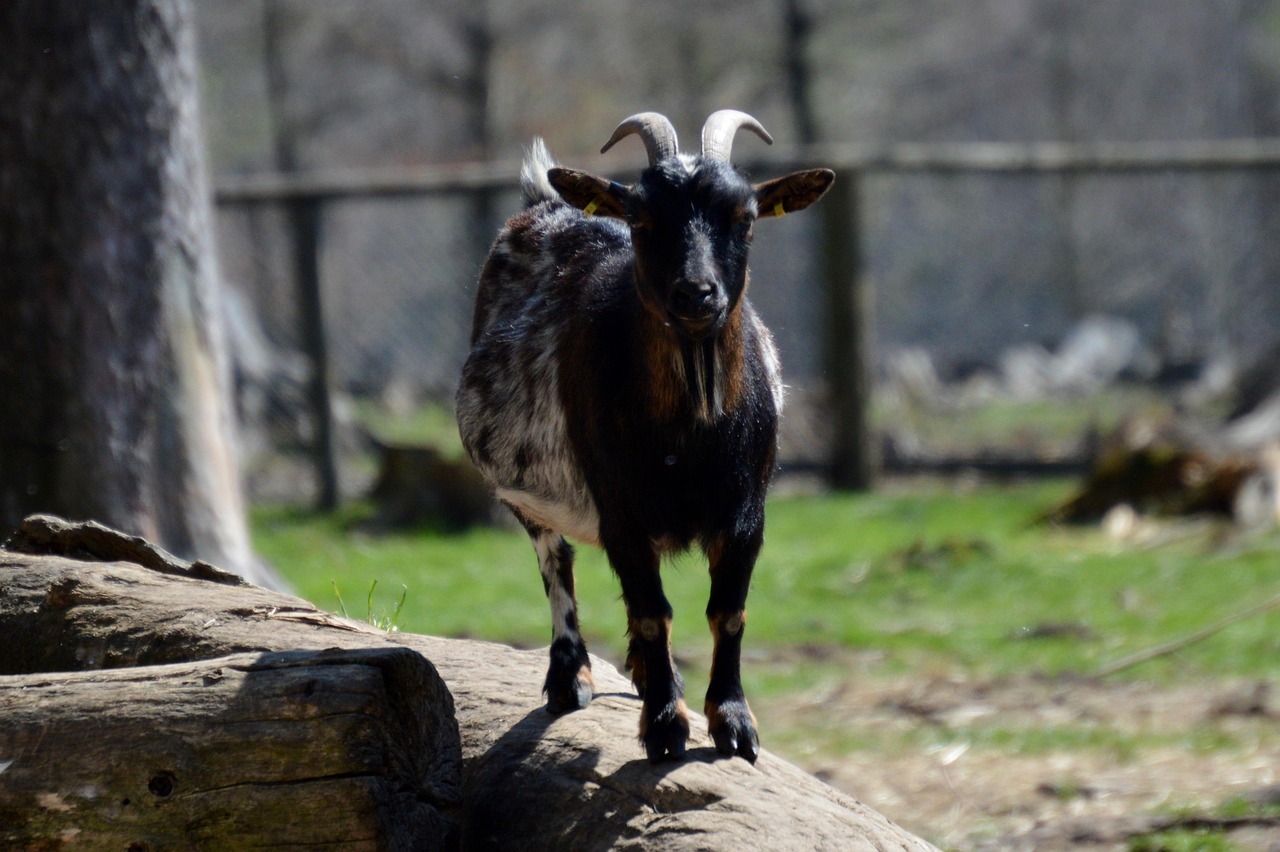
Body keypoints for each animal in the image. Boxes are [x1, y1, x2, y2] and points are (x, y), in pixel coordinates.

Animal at [456, 110, 833, 762]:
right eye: (641, 218)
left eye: (745, 218)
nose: (695, 293)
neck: (691, 438)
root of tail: (543, 201)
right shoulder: (621, 513)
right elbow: (654, 613)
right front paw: (664, 728)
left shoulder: (747, 515)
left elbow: (728, 613)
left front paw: (733, 723)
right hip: (523, 492)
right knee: (555, 560)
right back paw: (571, 678)